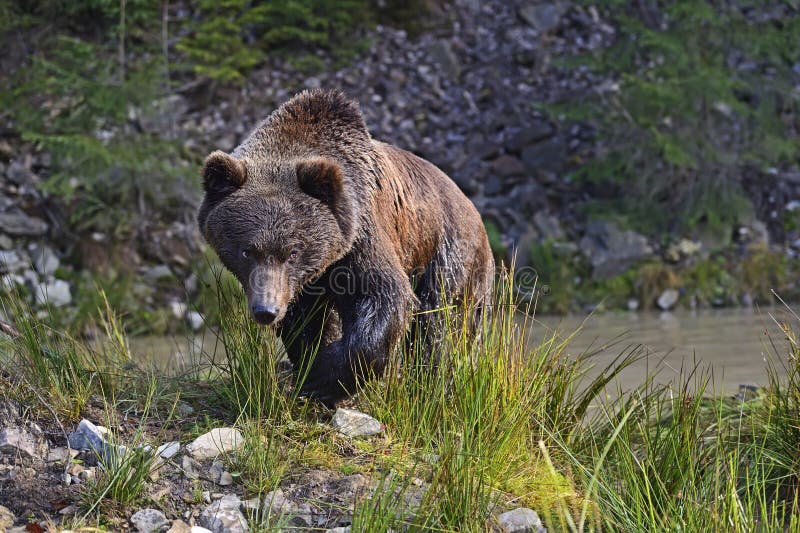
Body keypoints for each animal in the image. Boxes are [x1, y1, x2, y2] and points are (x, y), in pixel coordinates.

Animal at [198, 89, 494, 406]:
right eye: (246, 251)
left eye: (292, 252)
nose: (266, 310)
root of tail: (473, 210)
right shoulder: (304, 282)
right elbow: (306, 322)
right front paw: (311, 366)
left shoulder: (361, 234)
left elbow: (384, 294)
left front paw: (323, 377)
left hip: (447, 253)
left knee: (438, 323)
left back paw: (430, 383)